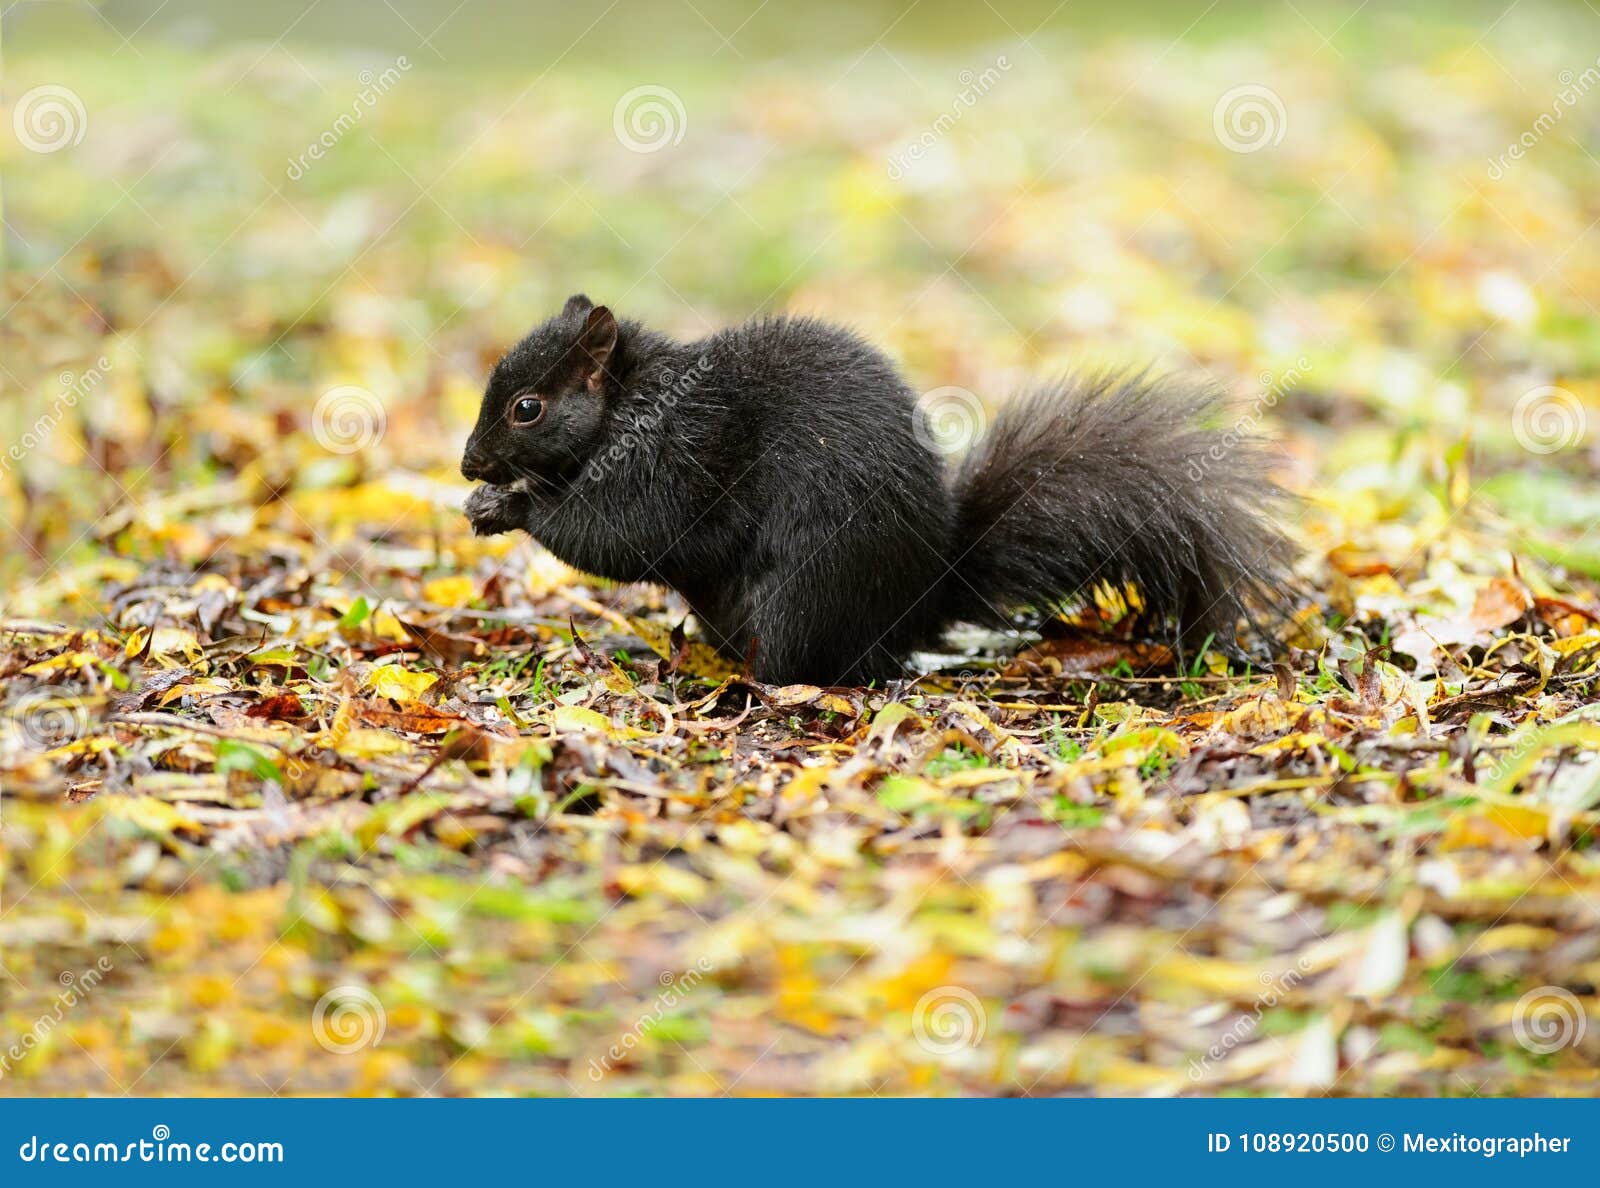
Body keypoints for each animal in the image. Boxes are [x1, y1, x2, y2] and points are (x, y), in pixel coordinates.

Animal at [461, 294, 1289, 686]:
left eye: (527, 407)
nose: (469, 464)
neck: (632, 399)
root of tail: (921, 602)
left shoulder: (680, 451)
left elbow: (624, 533)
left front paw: (511, 505)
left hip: (806, 593)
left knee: (807, 666)